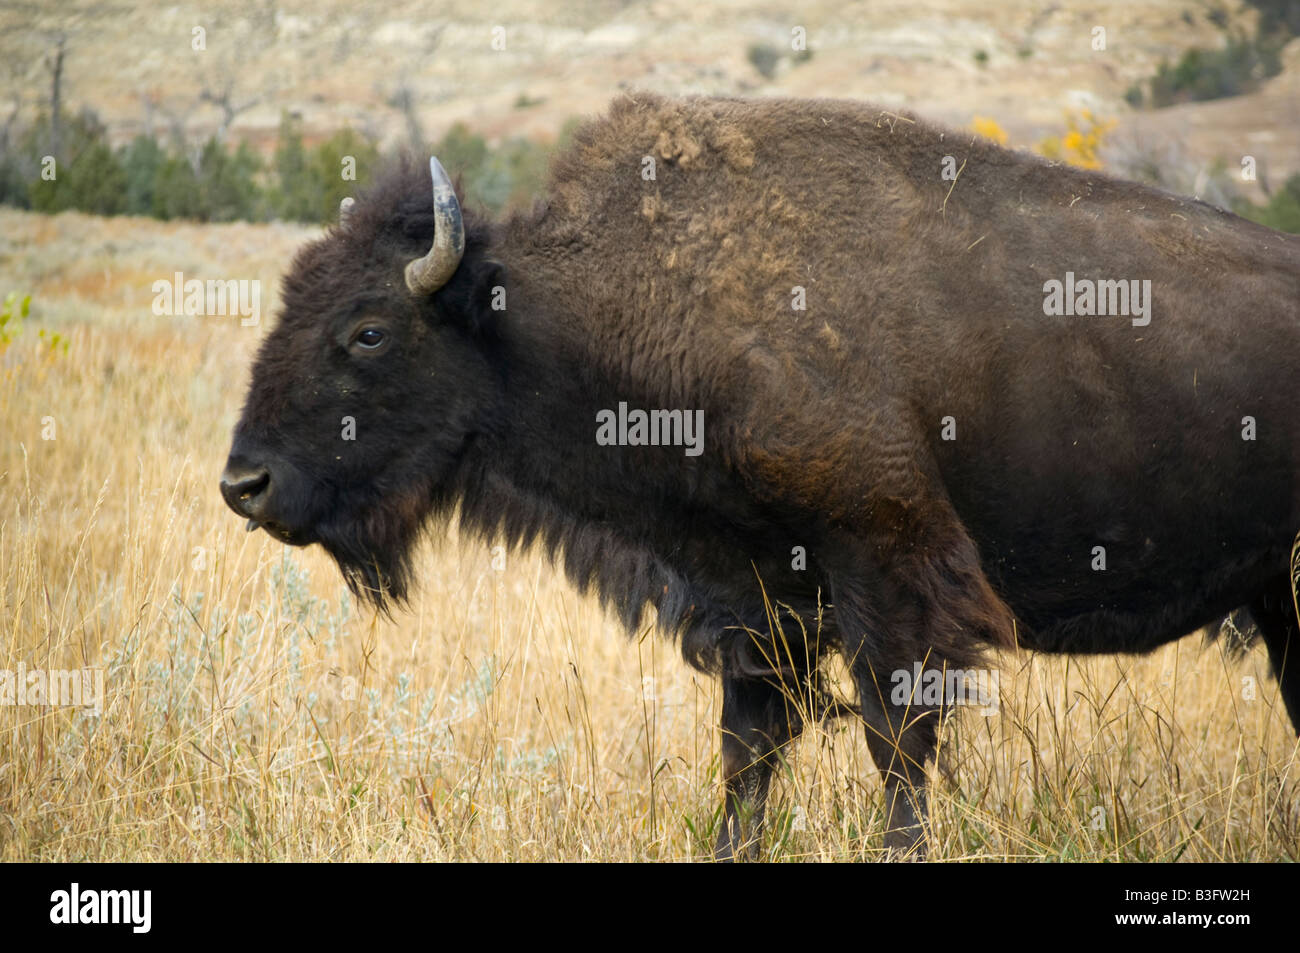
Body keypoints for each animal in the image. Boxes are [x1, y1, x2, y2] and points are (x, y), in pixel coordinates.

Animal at [221, 93, 1300, 860]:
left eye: (366, 330)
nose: (245, 484)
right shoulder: (749, 599)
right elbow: (748, 756)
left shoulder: (886, 568)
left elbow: (894, 743)